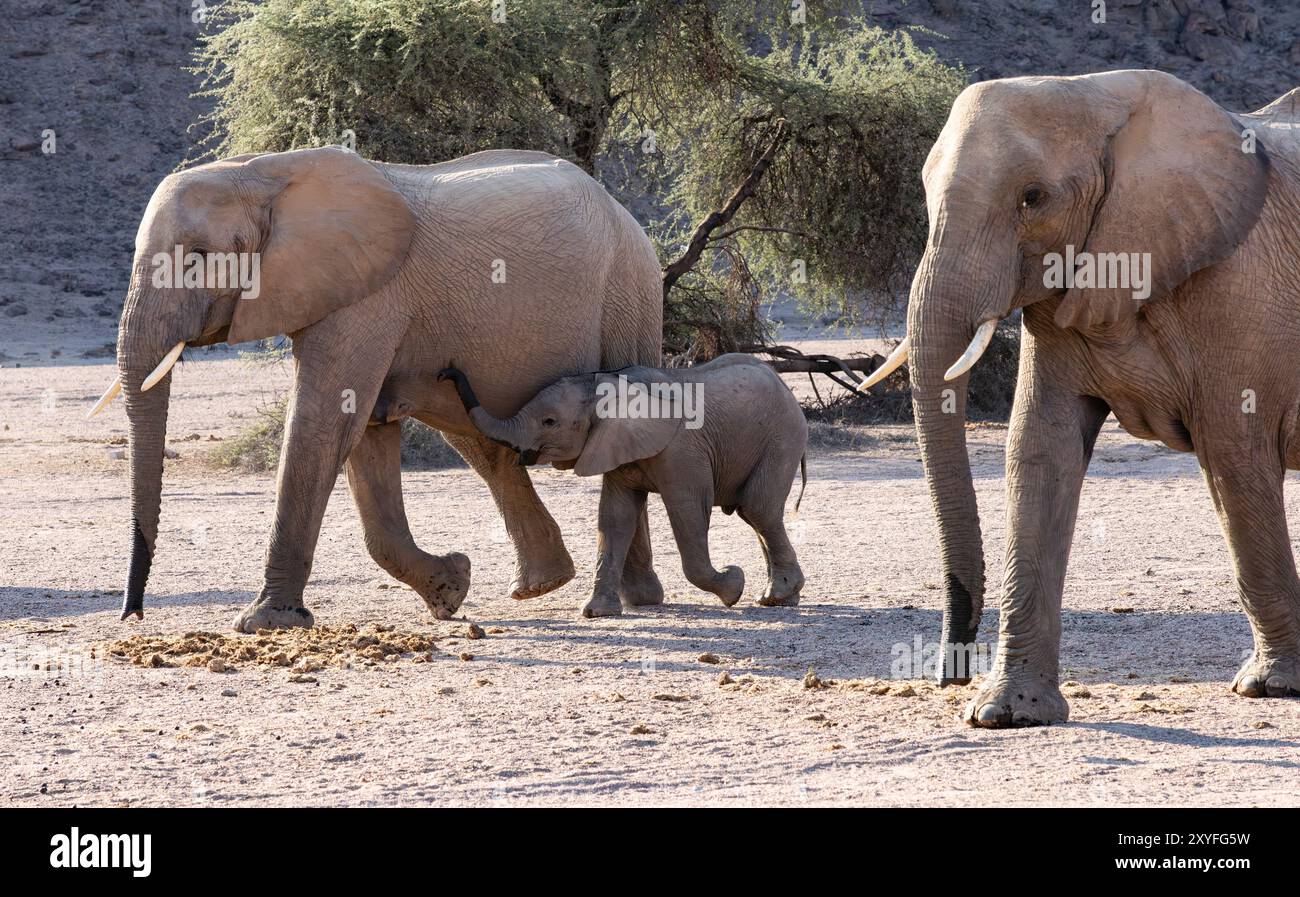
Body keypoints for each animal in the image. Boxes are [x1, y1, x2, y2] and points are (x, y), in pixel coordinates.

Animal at [89, 146, 663, 631]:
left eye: (199, 257)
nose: (132, 615)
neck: (261, 173)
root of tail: (622, 210)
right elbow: (364, 431)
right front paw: (451, 589)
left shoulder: (367, 298)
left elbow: (325, 423)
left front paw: (265, 623)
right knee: (479, 443)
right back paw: (549, 588)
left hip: (630, 290)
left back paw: (630, 600)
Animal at [436, 354, 808, 617]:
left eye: (549, 421)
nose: (445, 373)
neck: (609, 381)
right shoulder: (614, 444)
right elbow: (615, 518)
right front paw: (595, 612)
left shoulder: (682, 451)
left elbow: (688, 513)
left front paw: (733, 585)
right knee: (755, 514)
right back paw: (782, 598)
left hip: (782, 438)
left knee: (757, 509)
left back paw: (773, 597)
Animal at [857, 70, 1300, 726]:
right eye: (926, 191)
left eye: (1032, 198)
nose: (948, 673)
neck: (1096, 97)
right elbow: (1040, 450)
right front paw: (1007, 713)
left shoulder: (1238, 293)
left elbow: (1233, 458)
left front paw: (1271, 686)